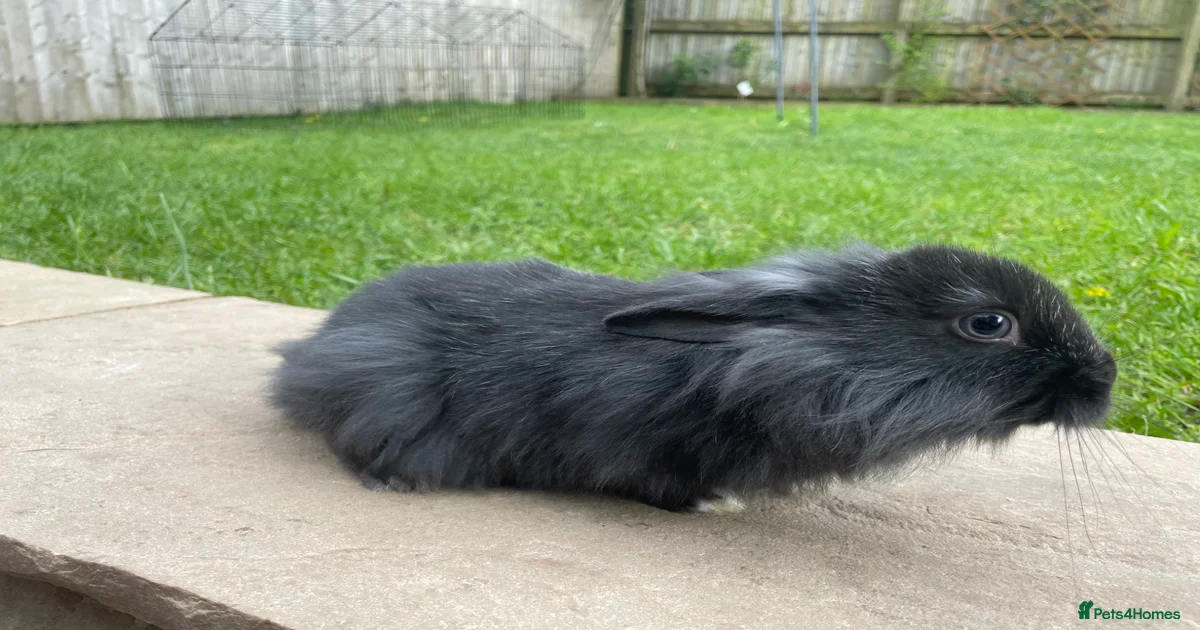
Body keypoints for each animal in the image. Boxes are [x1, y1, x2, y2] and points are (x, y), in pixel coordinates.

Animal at [268, 244, 1117, 513]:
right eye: (989, 325)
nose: (1105, 376)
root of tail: (320, 342)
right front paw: (712, 505)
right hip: (389, 388)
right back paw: (399, 480)